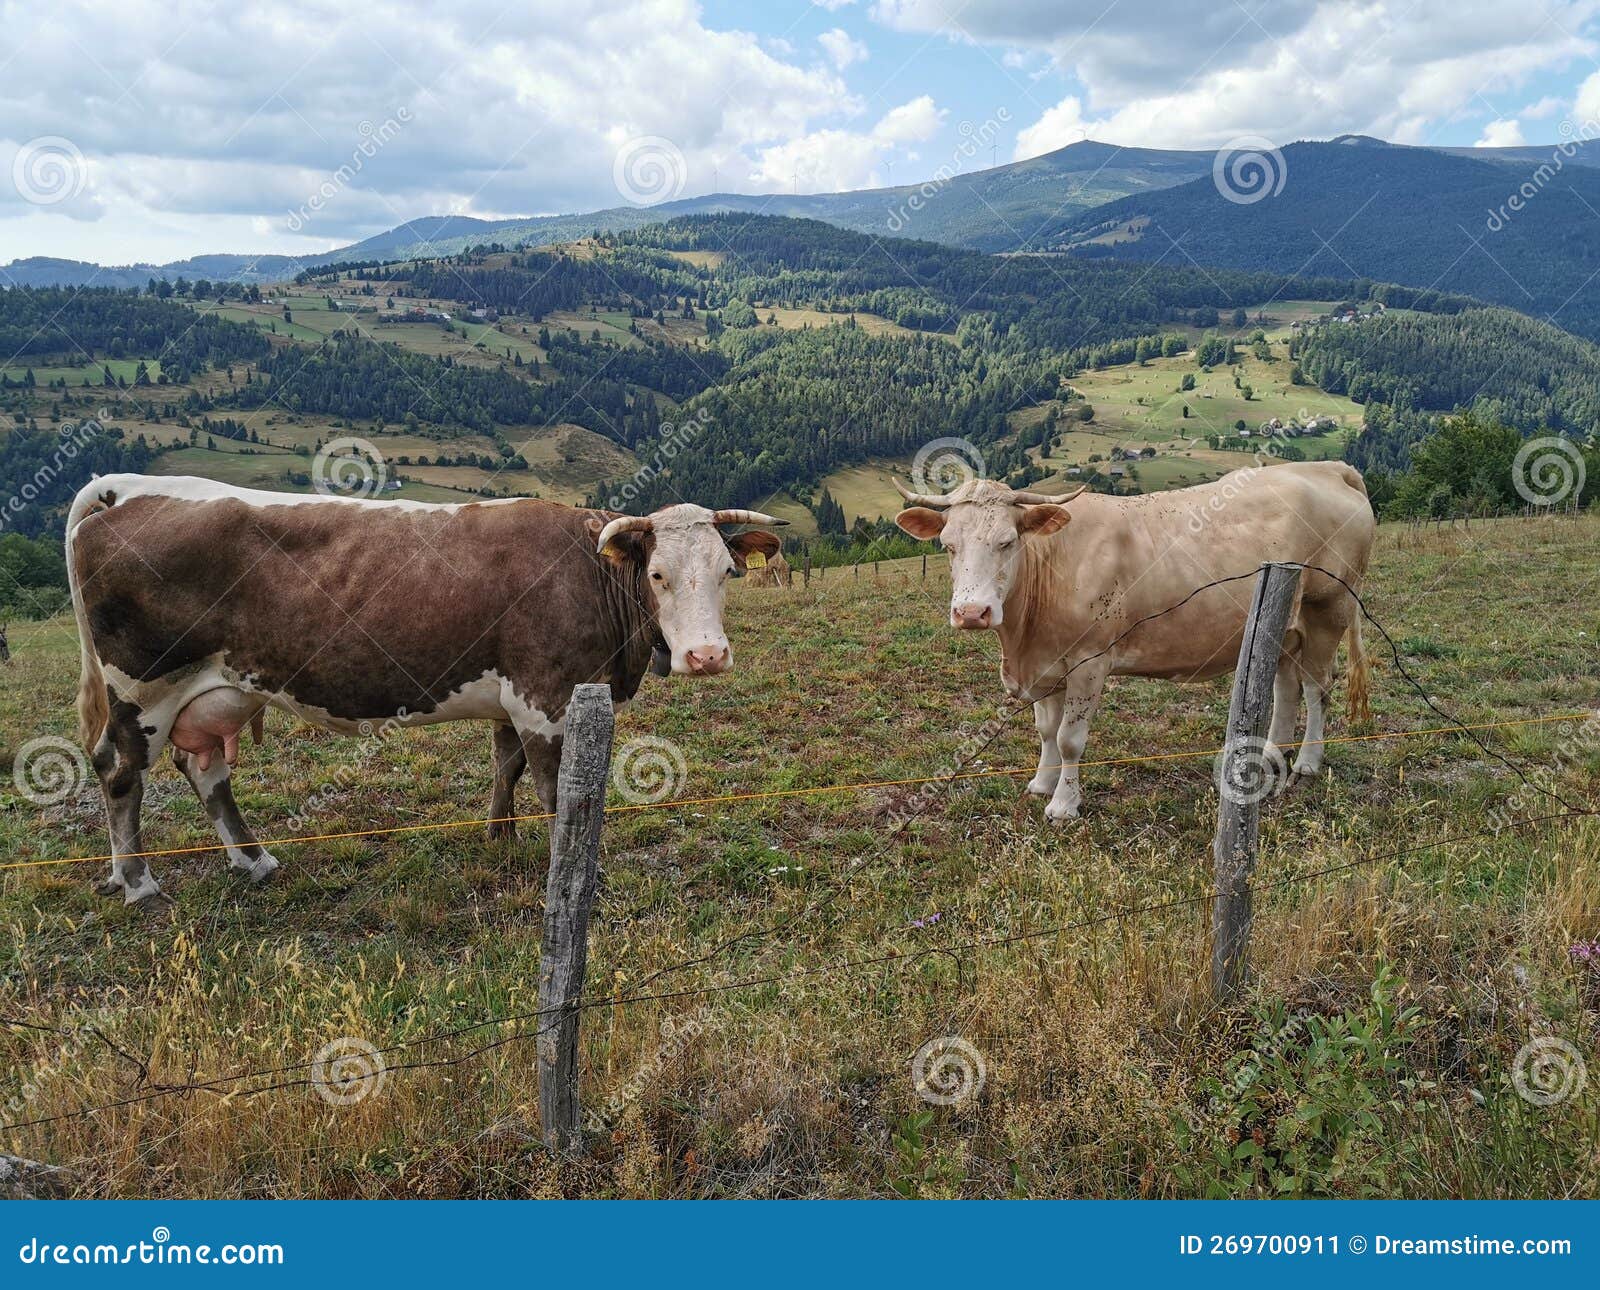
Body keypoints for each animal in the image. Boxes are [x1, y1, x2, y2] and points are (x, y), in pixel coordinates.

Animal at [65, 475, 786, 904]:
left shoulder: (512, 696)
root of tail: (127, 487)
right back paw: (139, 883)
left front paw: (499, 838)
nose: (706, 655)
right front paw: (576, 874)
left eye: (727, 571)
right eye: (657, 574)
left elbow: (505, 765)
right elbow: (557, 794)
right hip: (143, 689)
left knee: (203, 766)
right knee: (121, 772)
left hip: (220, 687)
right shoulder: (548, 695)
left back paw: (253, 860)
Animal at [893, 462, 1375, 823]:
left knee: (1317, 687)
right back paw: (1273, 756)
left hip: (1328, 611)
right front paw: (1042, 783)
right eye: (947, 545)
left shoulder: (1089, 660)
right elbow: (1046, 730)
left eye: (1008, 542)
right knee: (1286, 688)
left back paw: (1307, 764)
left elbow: (1070, 738)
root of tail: (1326, 468)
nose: (971, 612)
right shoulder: (1047, 663)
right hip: (1285, 626)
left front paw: (1064, 804)